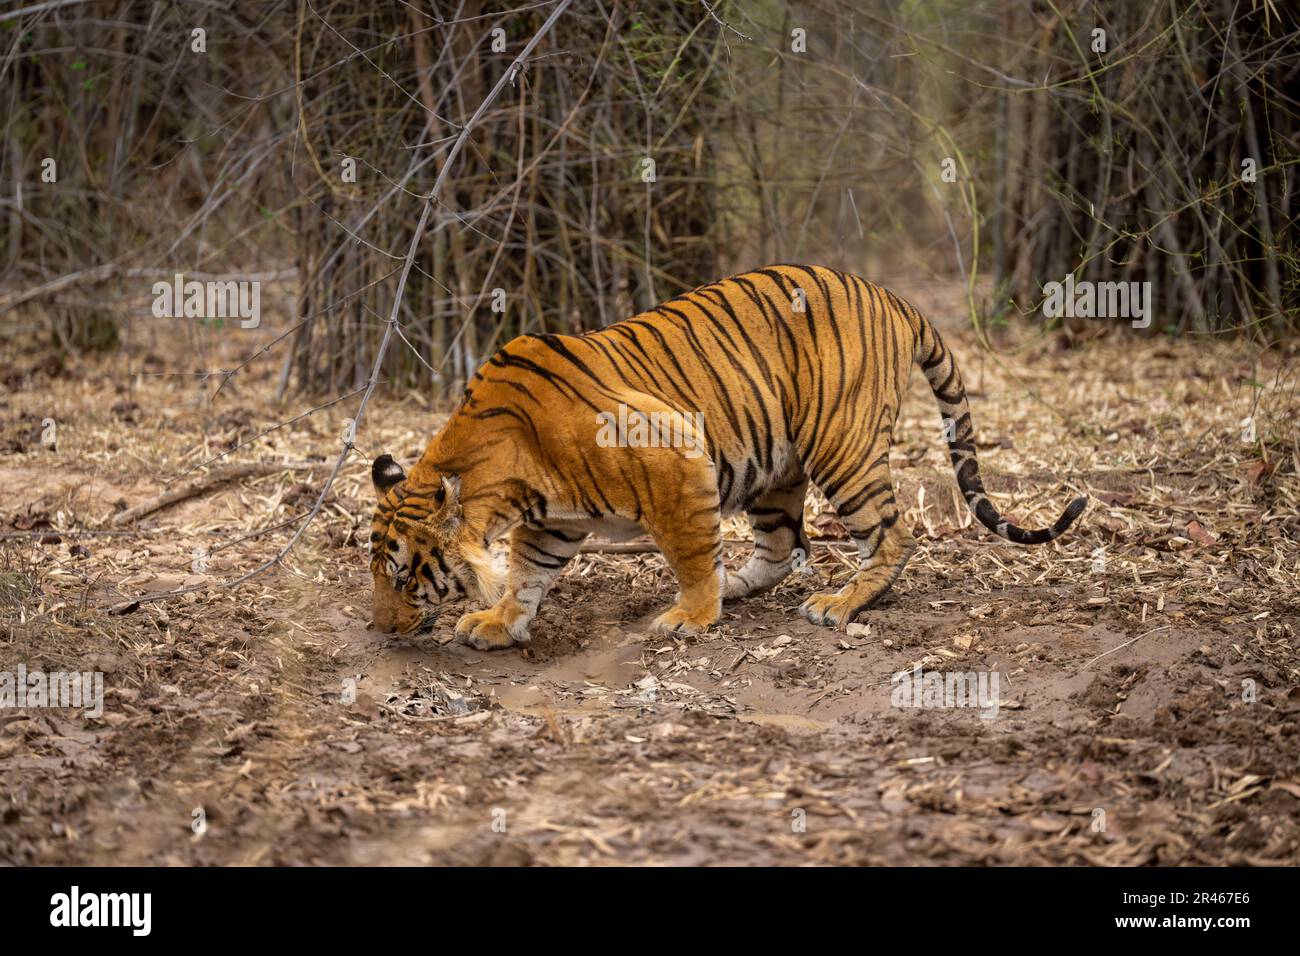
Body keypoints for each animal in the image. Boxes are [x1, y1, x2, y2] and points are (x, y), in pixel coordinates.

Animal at [368, 264, 1085, 649]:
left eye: (403, 577)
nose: (380, 629)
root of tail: (892, 296)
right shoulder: (556, 518)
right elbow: (526, 571)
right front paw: (500, 620)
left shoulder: (676, 456)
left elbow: (686, 550)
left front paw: (690, 616)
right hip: (776, 465)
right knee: (783, 546)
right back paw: (738, 582)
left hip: (842, 446)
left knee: (891, 534)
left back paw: (840, 603)